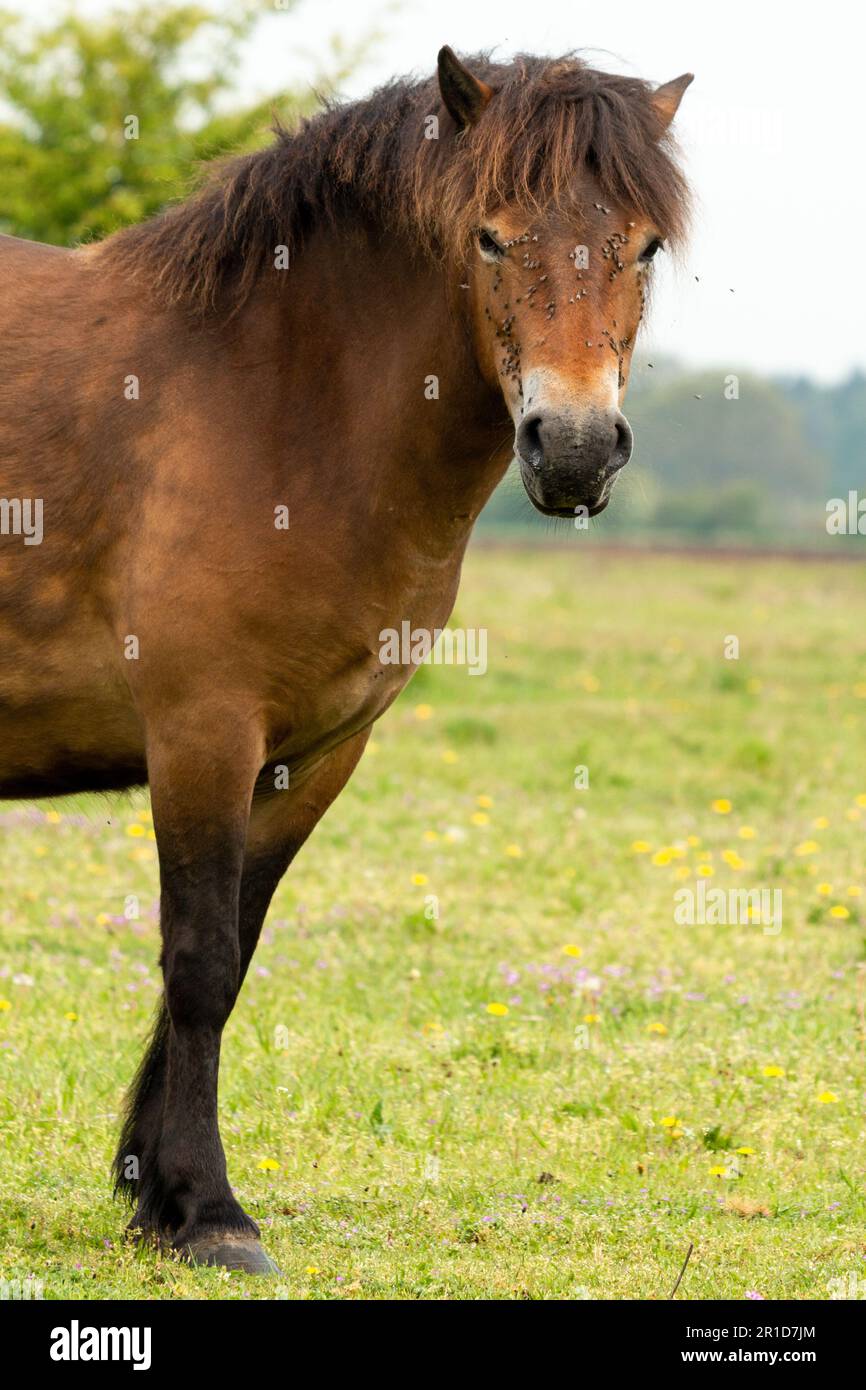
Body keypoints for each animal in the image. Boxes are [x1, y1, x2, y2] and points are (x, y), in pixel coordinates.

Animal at [0, 47, 692, 1274]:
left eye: (643, 245)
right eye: (488, 237)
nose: (571, 450)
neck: (274, 402)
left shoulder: (315, 754)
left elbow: (234, 955)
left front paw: (155, 1196)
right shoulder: (202, 734)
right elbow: (198, 959)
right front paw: (211, 1213)